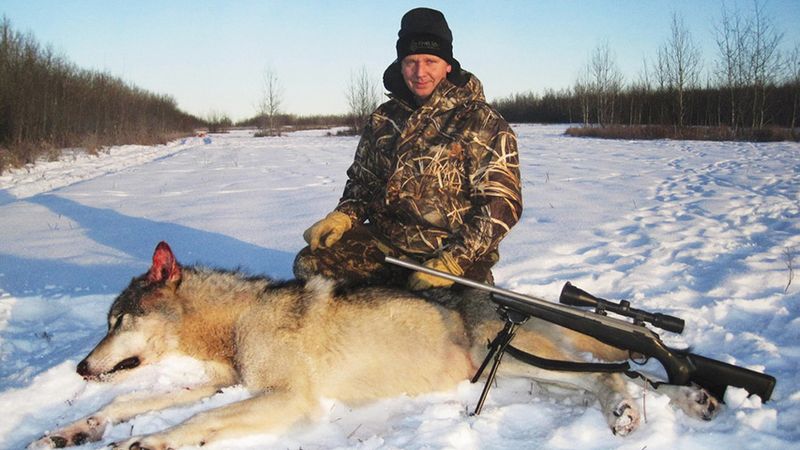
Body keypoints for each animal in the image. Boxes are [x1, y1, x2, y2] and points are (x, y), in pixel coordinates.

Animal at [30, 242, 719, 449]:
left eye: (119, 319)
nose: (81, 366)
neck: (237, 322)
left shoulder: (287, 399)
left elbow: (192, 423)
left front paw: (146, 444)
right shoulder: (228, 380)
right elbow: (124, 405)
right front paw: (69, 431)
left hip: (510, 355)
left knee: (617, 373)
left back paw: (643, 407)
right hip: (511, 373)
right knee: (626, 372)